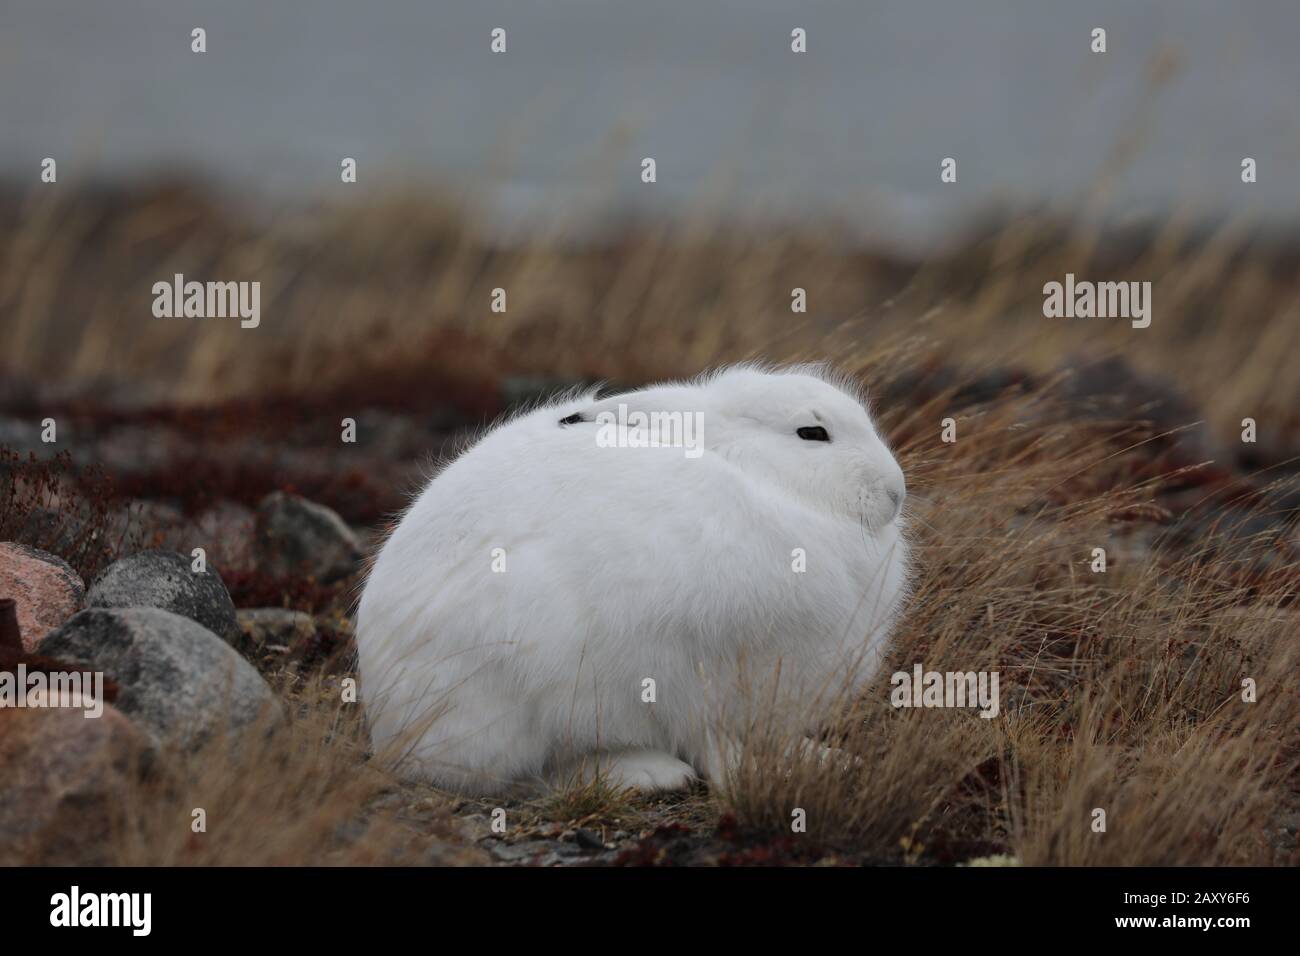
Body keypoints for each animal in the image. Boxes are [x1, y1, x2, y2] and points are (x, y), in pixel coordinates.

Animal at [355, 363, 911, 795]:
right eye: (812, 434)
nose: (896, 492)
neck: (764, 481)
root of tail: (389, 728)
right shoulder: (694, 670)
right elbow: (712, 739)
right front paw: (743, 775)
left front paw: (821, 759)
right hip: (517, 696)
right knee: (529, 775)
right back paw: (649, 773)